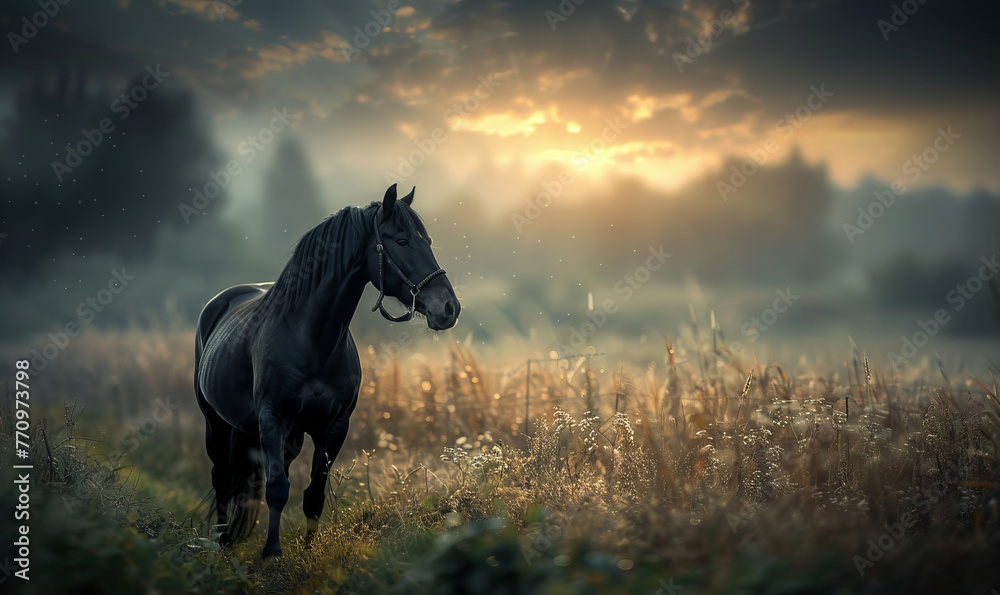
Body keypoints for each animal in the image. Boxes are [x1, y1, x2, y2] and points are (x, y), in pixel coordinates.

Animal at [194, 184, 460, 558]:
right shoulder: (272, 419)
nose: (449, 307)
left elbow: (313, 495)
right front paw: (271, 553)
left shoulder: (333, 426)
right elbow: (277, 489)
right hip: (215, 422)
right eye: (402, 241)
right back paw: (219, 541)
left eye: (429, 241)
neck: (313, 339)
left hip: (283, 435)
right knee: (221, 478)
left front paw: (307, 553)